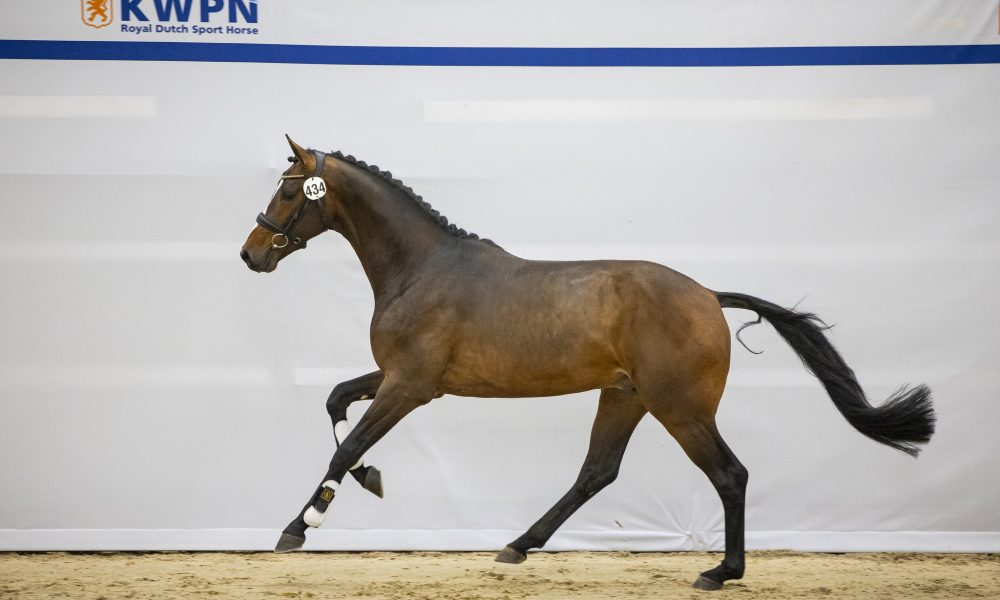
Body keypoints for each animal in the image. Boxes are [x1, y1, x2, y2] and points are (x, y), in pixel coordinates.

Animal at [240, 136, 935, 590]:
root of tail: (709, 295)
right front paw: (364, 484)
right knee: (597, 471)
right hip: (626, 396)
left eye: (287, 190)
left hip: (680, 408)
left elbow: (350, 441)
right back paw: (517, 546)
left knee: (729, 474)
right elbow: (336, 402)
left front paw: (300, 526)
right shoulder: (401, 378)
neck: (421, 268)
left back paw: (721, 571)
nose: (251, 253)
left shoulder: (410, 386)